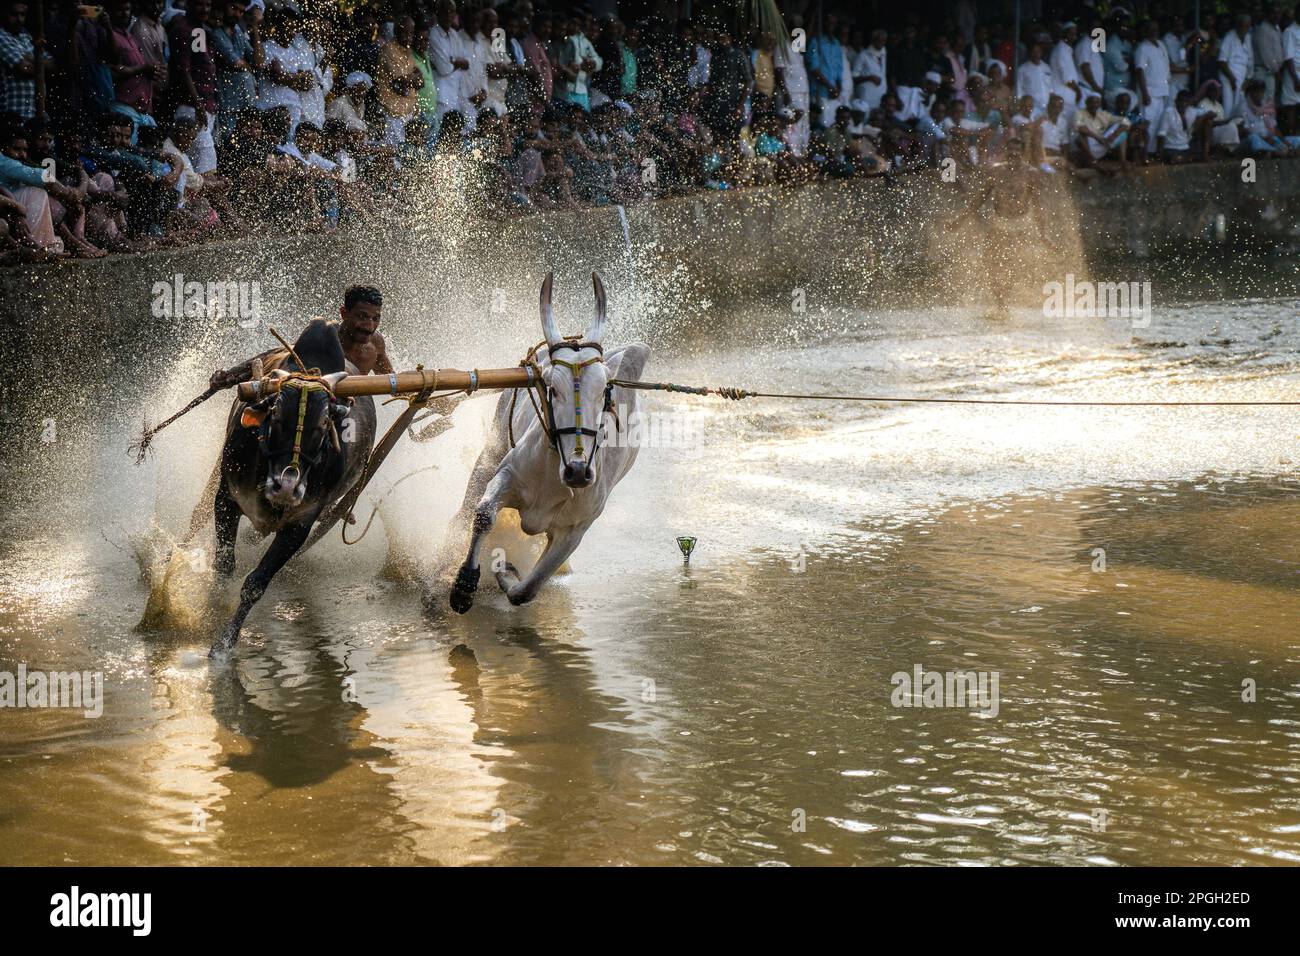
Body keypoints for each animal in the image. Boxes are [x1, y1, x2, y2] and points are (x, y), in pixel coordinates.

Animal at [211, 319, 377, 655]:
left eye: (325, 423)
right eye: (274, 414)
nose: (286, 487)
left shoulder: (300, 523)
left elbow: (255, 584)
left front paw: (225, 643)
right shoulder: (226, 499)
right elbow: (223, 565)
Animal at [448, 272, 650, 613]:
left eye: (605, 392)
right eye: (552, 389)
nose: (578, 471)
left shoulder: (576, 530)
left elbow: (527, 591)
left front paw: (507, 572)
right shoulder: (507, 474)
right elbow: (484, 515)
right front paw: (463, 586)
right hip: (493, 447)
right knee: (464, 511)